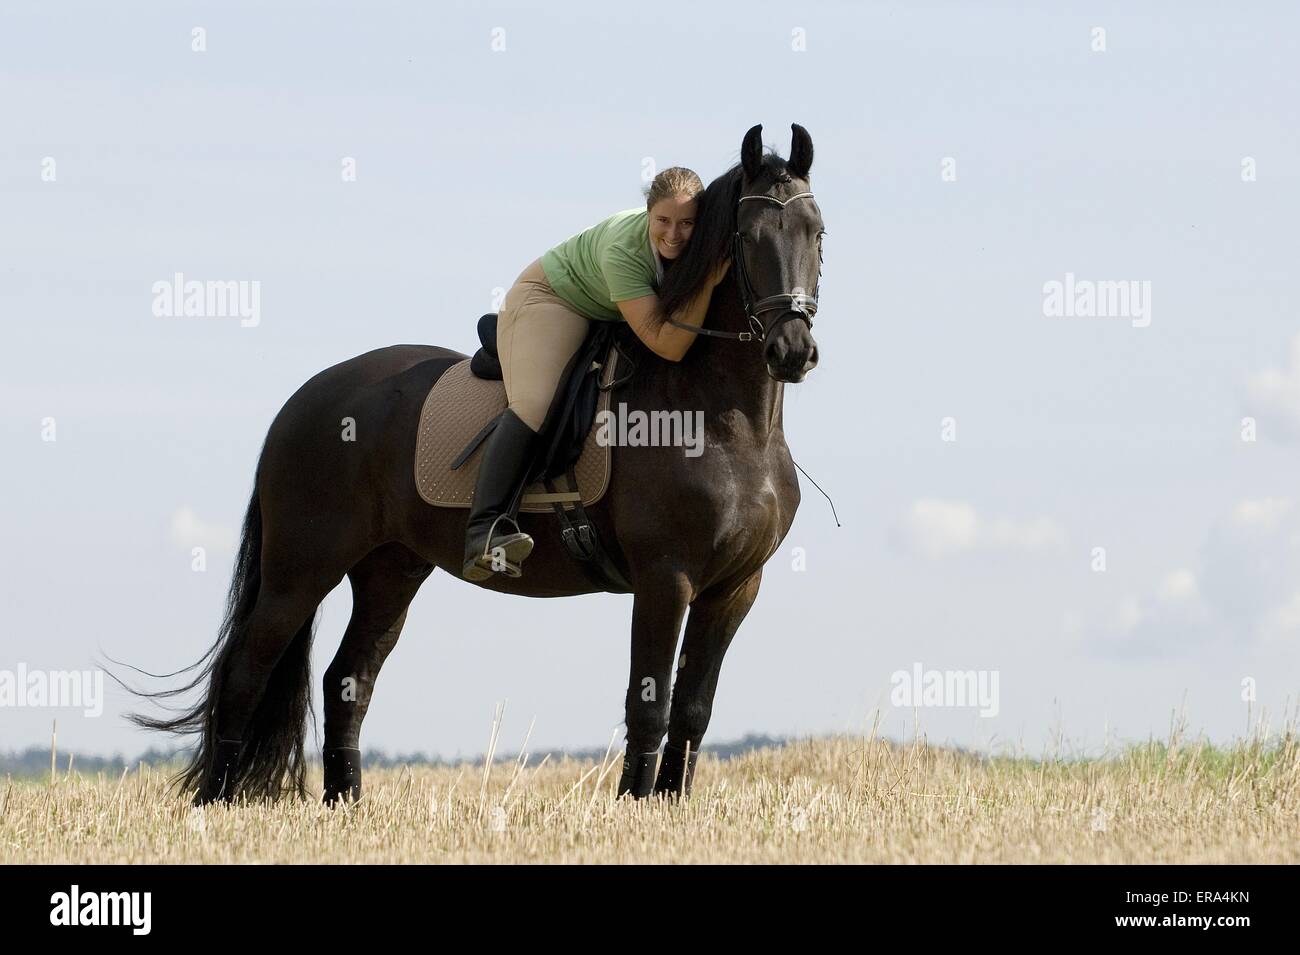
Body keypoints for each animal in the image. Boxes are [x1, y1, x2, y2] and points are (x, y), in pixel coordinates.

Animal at [128, 123, 825, 805]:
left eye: (815, 230)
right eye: (746, 237)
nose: (792, 350)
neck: (725, 419)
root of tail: (302, 401)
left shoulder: (733, 588)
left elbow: (693, 711)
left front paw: (669, 808)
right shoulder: (665, 578)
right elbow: (649, 706)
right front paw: (633, 807)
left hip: (391, 570)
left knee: (348, 679)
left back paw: (345, 806)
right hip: (300, 569)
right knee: (247, 669)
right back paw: (214, 804)